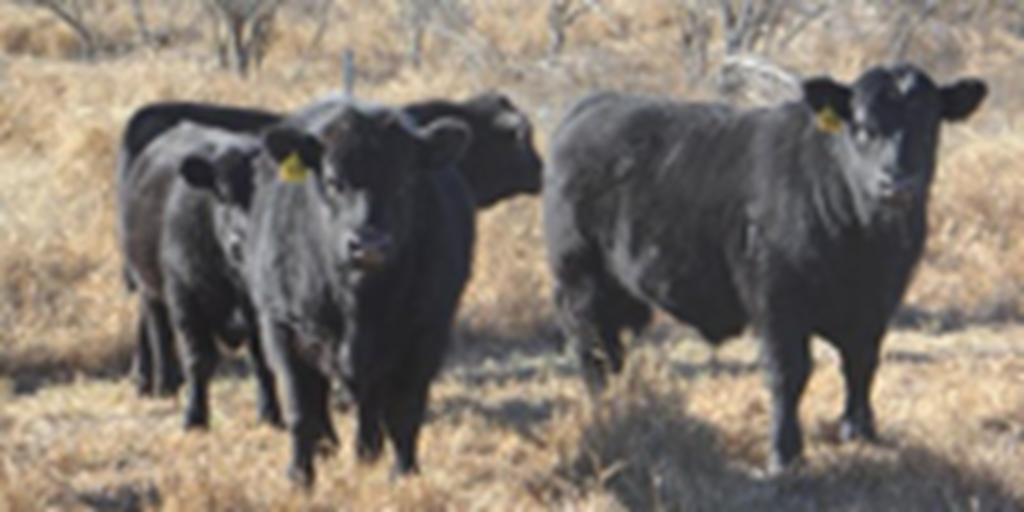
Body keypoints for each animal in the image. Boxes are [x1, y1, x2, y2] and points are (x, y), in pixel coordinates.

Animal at [119, 121, 281, 430]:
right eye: (222, 194)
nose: (239, 242)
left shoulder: (261, 310)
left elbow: (263, 361)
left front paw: (271, 414)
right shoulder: (186, 299)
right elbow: (198, 360)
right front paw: (195, 416)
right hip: (149, 287)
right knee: (157, 330)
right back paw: (163, 383)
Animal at [232, 98, 474, 486]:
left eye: (406, 181)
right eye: (333, 181)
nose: (368, 244)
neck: (356, 302)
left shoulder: (426, 332)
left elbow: (405, 413)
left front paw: (403, 475)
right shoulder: (282, 327)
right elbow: (301, 410)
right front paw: (299, 476)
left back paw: (367, 451)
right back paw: (328, 446)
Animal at [543, 64, 987, 472]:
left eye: (929, 126)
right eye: (862, 128)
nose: (896, 183)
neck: (864, 242)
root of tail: (594, 105)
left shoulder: (878, 303)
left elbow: (862, 364)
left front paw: (860, 430)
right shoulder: (776, 300)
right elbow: (788, 372)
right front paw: (784, 453)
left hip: (623, 292)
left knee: (615, 348)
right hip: (579, 279)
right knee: (592, 349)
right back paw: (606, 410)